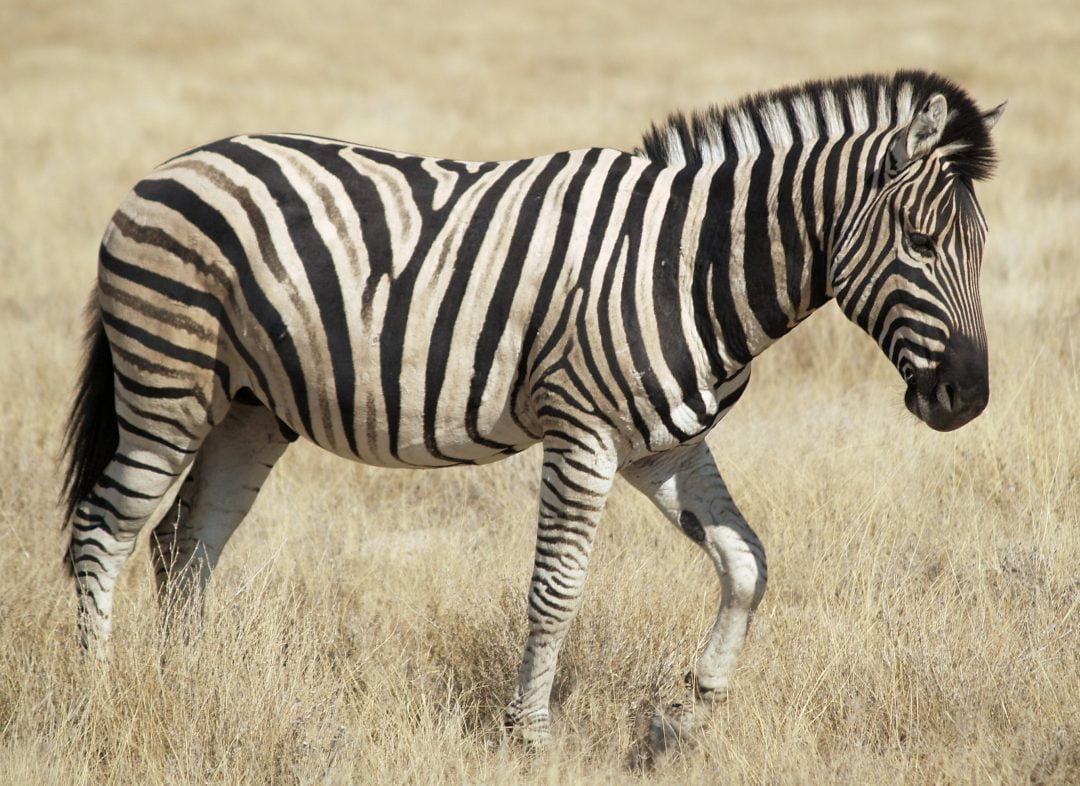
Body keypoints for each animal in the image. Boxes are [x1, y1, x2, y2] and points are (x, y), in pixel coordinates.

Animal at [62, 70, 1003, 748]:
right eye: (921, 244)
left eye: (982, 249)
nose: (969, 400)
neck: (690, 265)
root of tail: (173, 166)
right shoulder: (581, 431)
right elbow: (557, 590)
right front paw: (531, 735)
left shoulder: (662, 445)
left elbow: (746, 562)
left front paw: (693, 711)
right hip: (168, 383)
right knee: (104, 533)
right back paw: (99, 701)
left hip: (250, 407)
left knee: (185, 546)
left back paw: (189, 688)